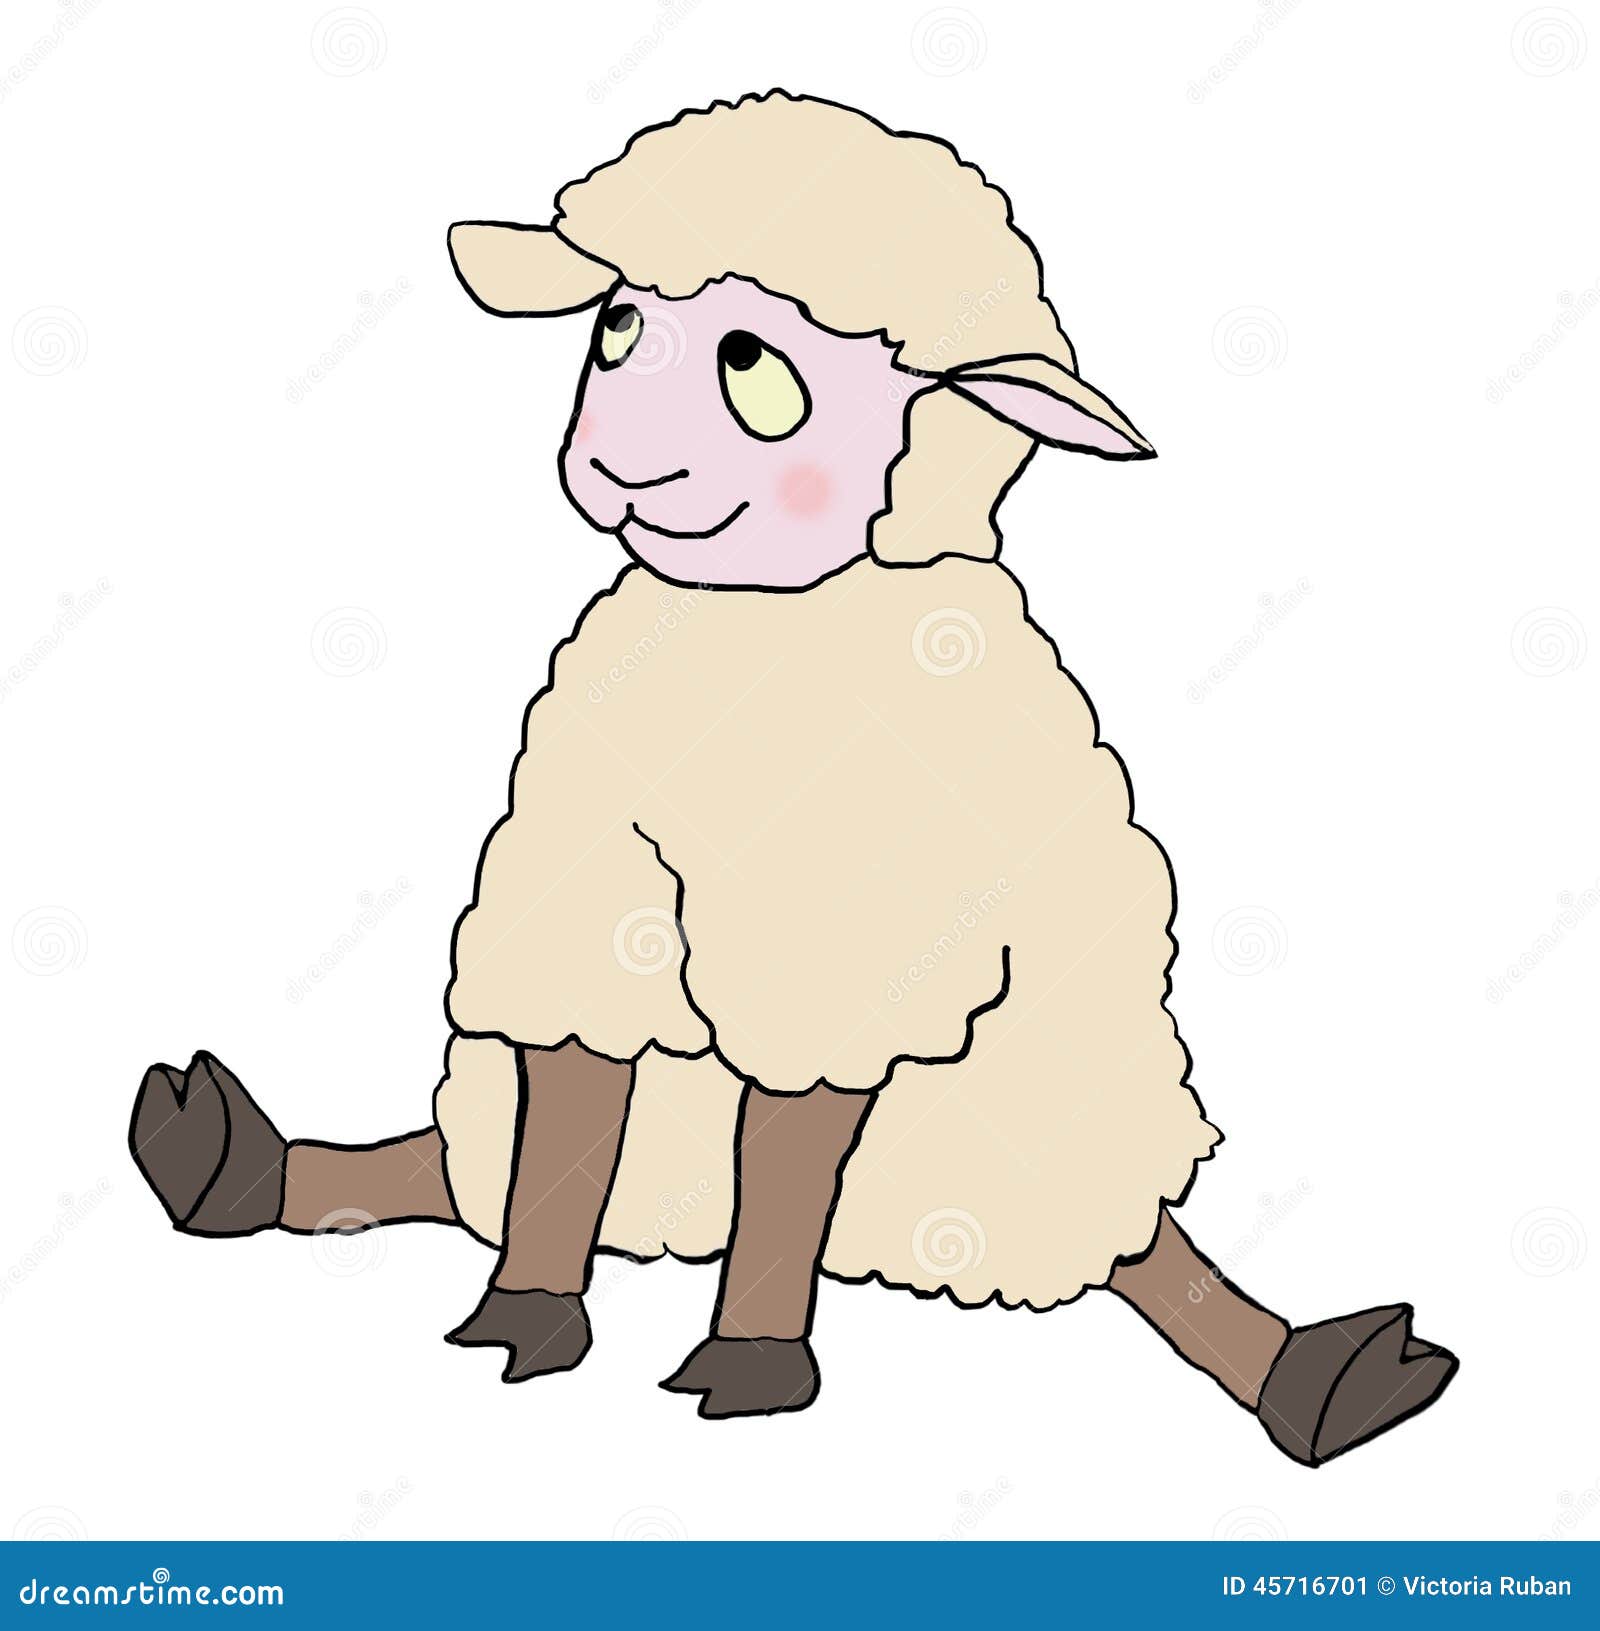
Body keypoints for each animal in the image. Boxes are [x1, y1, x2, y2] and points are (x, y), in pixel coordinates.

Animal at [130, 91, 1456, 1464]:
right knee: (462, 1168)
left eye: (754, 368)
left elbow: (788, 1144)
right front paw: (528, 1312)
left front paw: (750, 1357)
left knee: (1135, 1246)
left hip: (1037, 1130)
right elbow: (573, 1092)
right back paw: (222, 1156)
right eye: (616, 327)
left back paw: (1331, 1376)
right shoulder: (583, 857)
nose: (615, 462)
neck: (759, 624)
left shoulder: (850, 941)